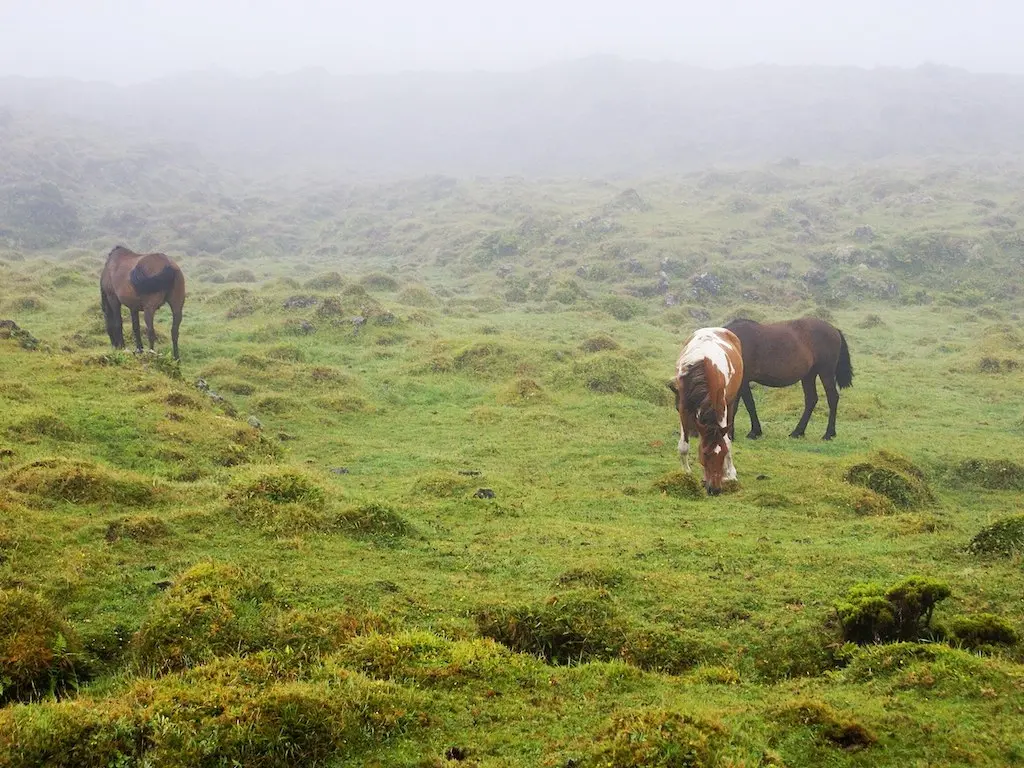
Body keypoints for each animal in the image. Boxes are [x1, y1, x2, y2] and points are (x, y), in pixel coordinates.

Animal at [668, 327, 744, 496]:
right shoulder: (684, 407)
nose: (715, 490)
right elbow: (684, 446)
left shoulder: (721, 406)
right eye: (705, 454)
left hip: (731, 402)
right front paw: (687, 474)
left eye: (722, 454)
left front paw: (728, 474)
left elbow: (726, 442)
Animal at [724, 316, 853, 442]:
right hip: (809, 375)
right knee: (811, 400)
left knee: (832, 398)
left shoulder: (743, 381)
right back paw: (798, 432)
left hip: (825, 373)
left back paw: (828, 434)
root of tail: (834, 330)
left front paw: (739, 434)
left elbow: (742, 406)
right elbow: (743, 405)